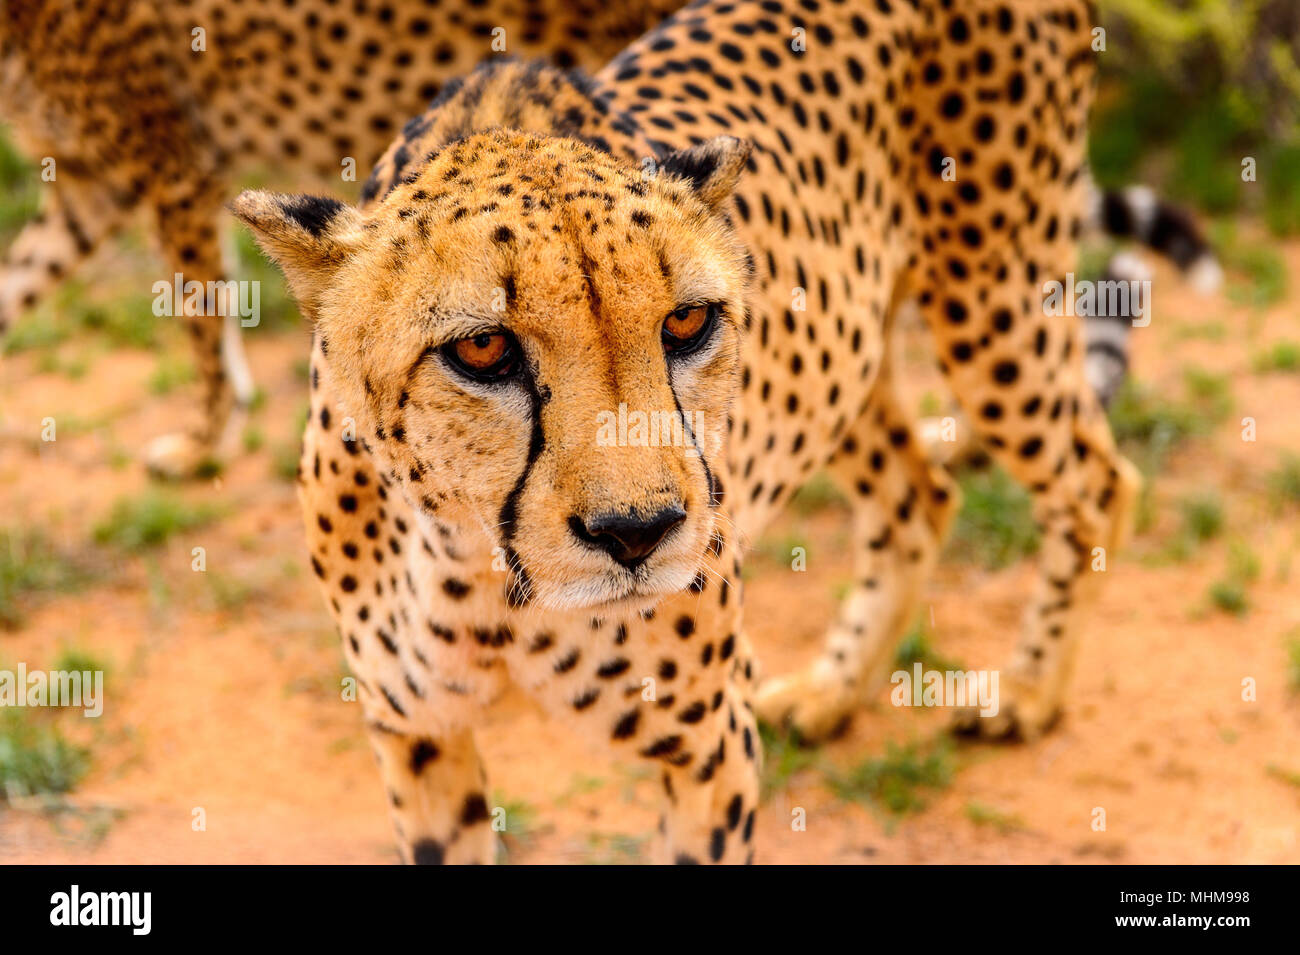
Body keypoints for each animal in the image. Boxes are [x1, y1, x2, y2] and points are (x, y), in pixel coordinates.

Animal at [233, 0, 1146, 863]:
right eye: (483, 348)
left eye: (686, 322)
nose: (637, 533)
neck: (492, 584)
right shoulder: (419, 736)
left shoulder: (711, 744)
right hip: (842, 350)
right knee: (919, 492)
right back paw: (834, 689)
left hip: (992, 299)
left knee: (1096, 478)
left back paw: (1026, 694)